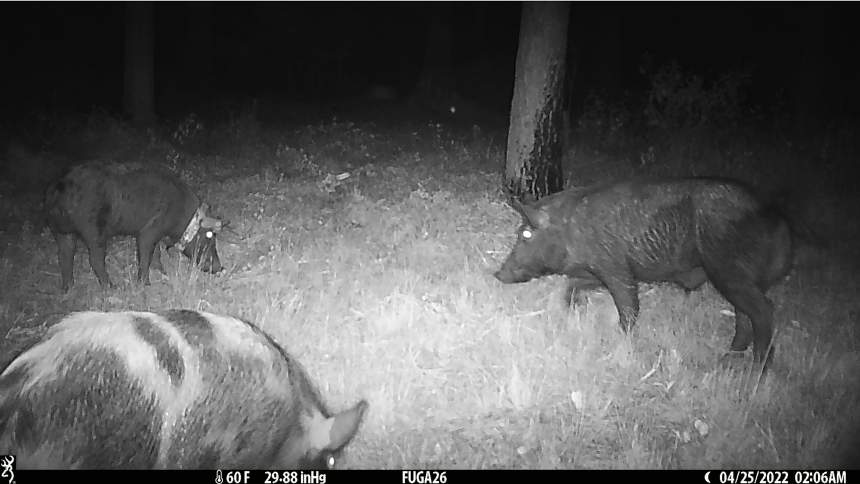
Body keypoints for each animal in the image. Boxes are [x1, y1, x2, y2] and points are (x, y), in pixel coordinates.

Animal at [44, 163, 223, 291]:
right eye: (209, 238)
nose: (220, 268)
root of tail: (59, 190)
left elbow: (156, 253)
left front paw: (162, 273)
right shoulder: (148, 231)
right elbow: (145, 256)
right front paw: (145, 284)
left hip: (61, 232)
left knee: (64, 256)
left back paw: (68, 288)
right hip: (93, 230)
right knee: (94, 259)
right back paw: (112, 287)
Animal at [494, 177, 794, 366]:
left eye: (526, 234)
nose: (498, 274)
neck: (571, 230)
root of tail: (778, 220)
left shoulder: (616, 268)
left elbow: (629, 307)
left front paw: (620, 342)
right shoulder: (594, 271)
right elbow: (571, 287)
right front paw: (573, 313)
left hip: (728, 269)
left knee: (763, 310)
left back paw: (757, 369)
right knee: (744, 314)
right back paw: (728, 358)